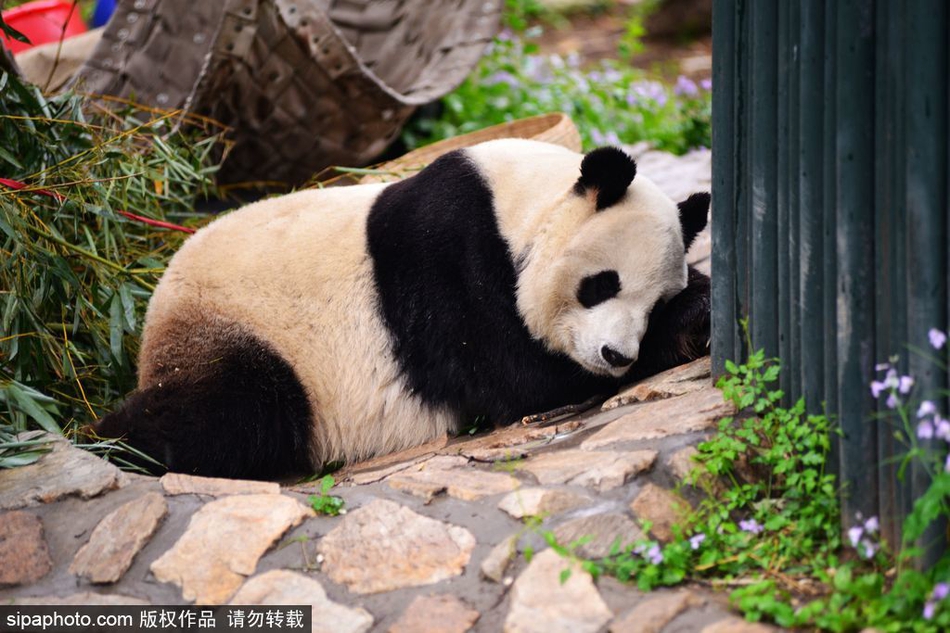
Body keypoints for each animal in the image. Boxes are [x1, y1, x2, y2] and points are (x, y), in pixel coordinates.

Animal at [96, 137, 712, 474]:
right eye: (601, 284)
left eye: (653, 301)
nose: (616, 355)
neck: (521, 208)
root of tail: (153, 313)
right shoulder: (451, 264)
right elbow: (521, 376)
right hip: (242, 330)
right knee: (236, 414)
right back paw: (111, 440)